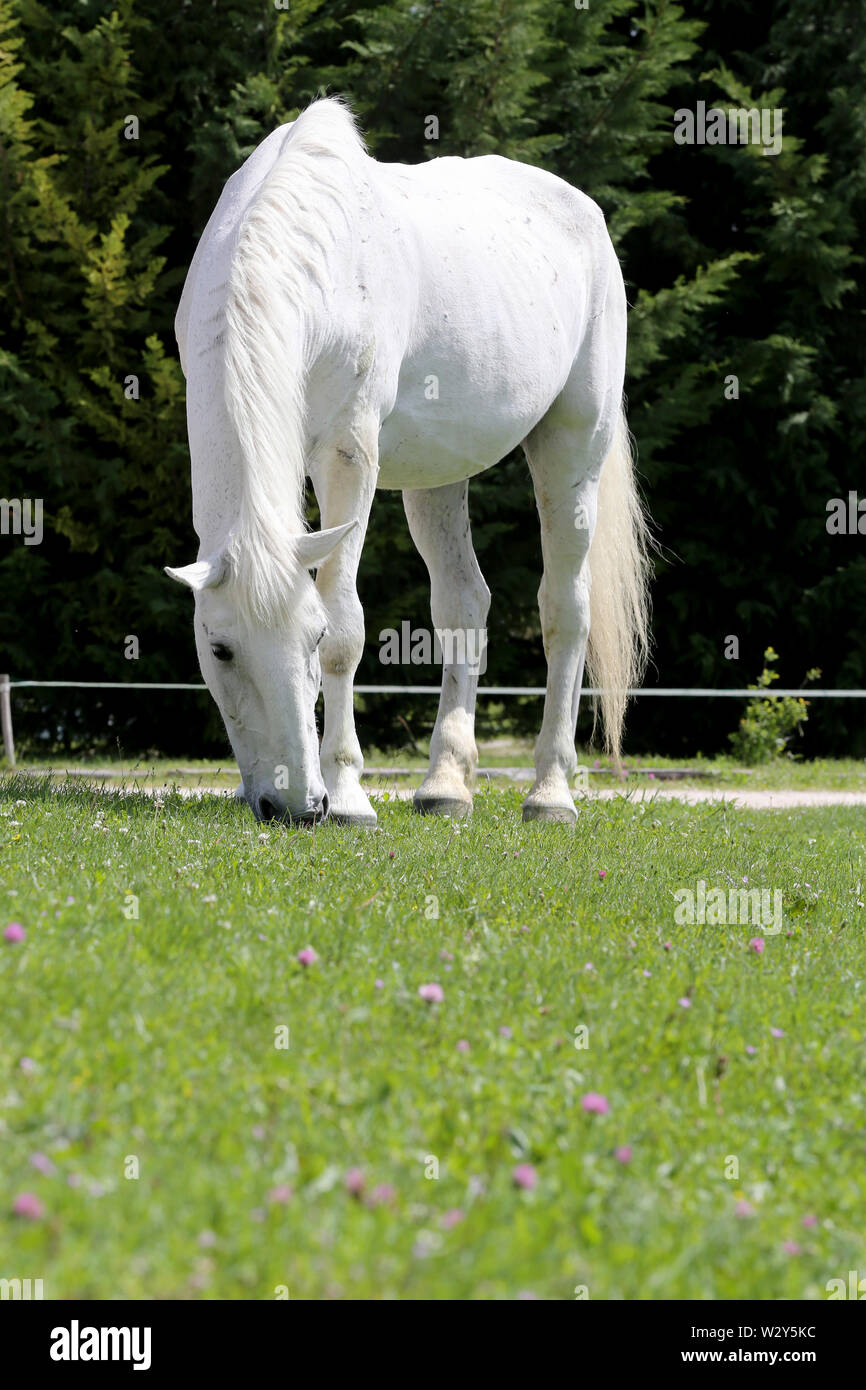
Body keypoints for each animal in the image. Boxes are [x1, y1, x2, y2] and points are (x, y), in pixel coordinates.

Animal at [168, 98, 650, 826]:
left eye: (310, 640)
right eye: (220, 648)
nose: (294, 805)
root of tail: (586, 214)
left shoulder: (348, 456)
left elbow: (349, 622)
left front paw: (347, 797)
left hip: (574, 452)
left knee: (565, 609)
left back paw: (550, 794)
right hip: (440, 479)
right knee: (464, 604)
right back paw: (445, 786)